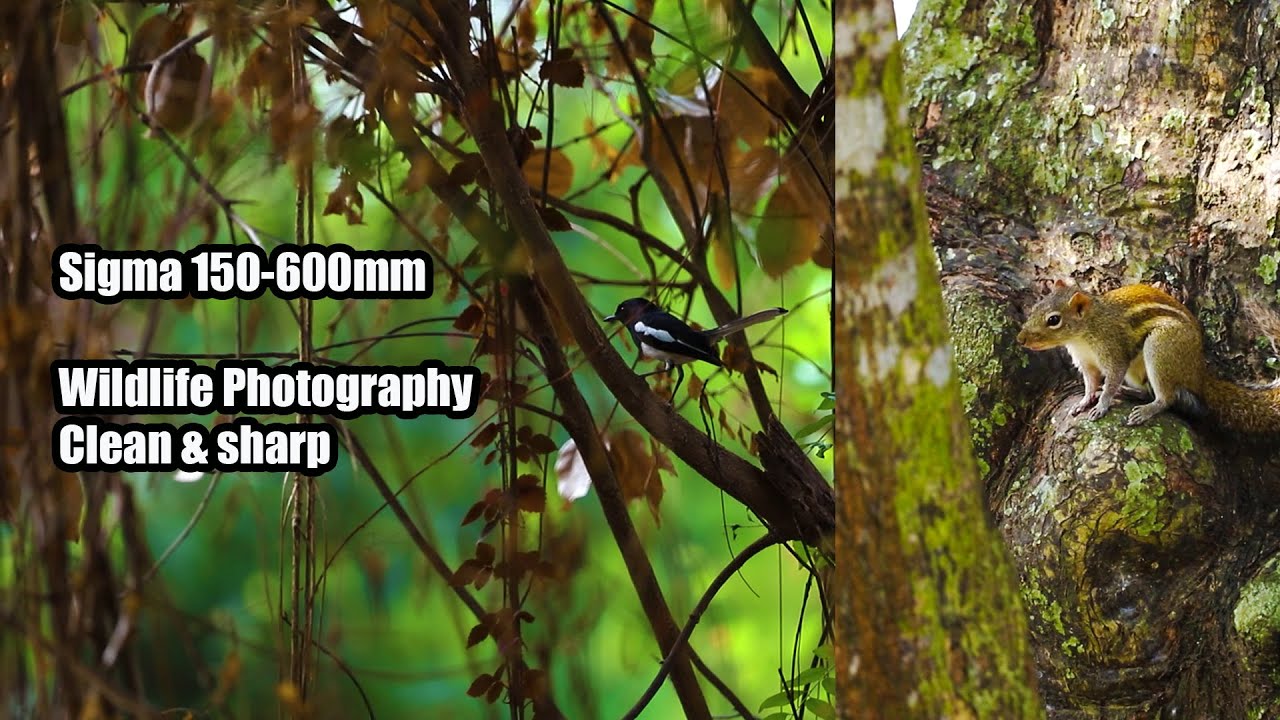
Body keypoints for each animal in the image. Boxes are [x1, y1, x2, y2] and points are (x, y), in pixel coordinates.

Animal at [1016, 280, 1280, 433]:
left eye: (1054, 320)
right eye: (1036, 307)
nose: (1021, 339)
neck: (1084, 332)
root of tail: (1199, 374)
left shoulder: (1114, 353)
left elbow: (1111, 380)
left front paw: (1101, 406)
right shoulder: (1086, 362)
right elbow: (1091, 383)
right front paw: (1084, 401)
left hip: (1160, 349)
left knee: (1166, 397)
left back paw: (1145, 410)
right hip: (1138, 370)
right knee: (1146, 390)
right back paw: (1129, 392)